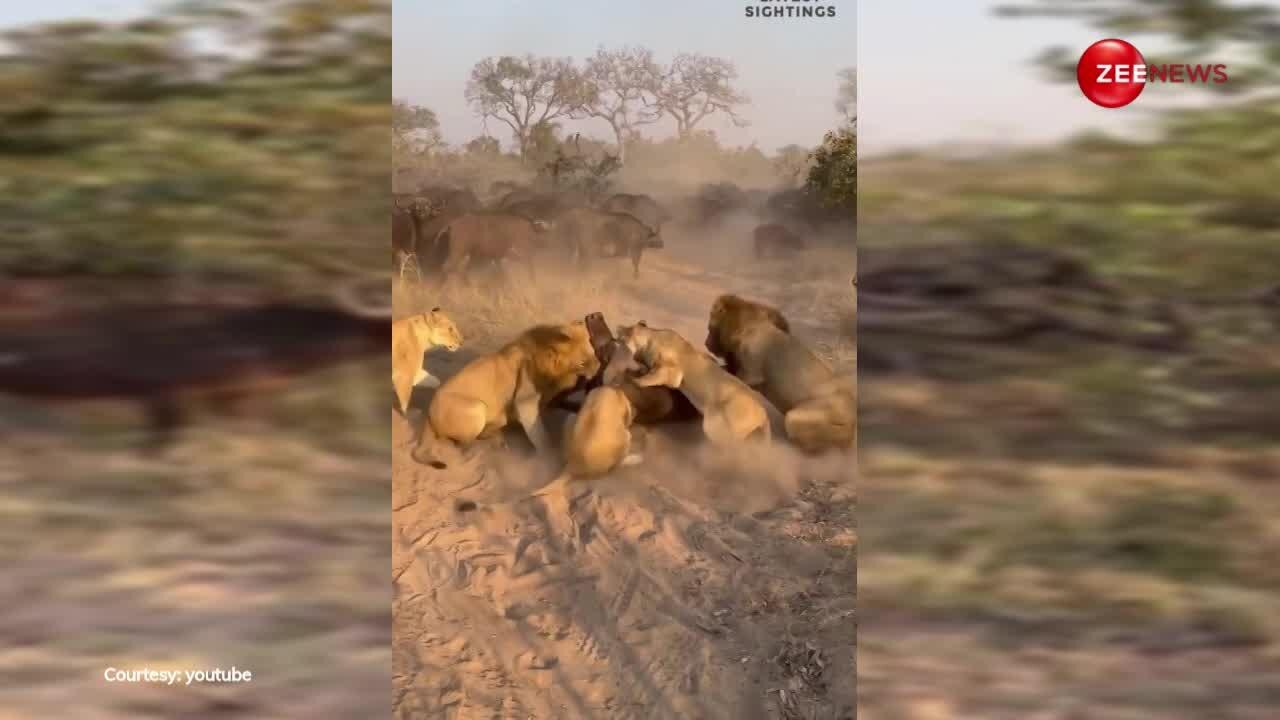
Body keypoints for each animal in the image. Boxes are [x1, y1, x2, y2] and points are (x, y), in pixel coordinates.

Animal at [412, 321, 601, 468]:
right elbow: (540, 435)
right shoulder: (525, 400)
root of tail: (428, 414)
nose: (599, 367)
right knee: (463, 444)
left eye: (594, 352)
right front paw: (549, 457)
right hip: (476, 407)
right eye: (582, 362)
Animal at [618, 322, 771, 444]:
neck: (654, 336)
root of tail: (763, 413)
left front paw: (633, 378)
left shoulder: (672, 372)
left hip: (716, 425)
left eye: (622, 336)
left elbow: (649, 378)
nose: (618, 329)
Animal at [706, 294, 855, 453]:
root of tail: (852, 420)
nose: (706, 343)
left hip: (795, 417)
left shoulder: (750, 373)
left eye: (710, 328)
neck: (748, 326)